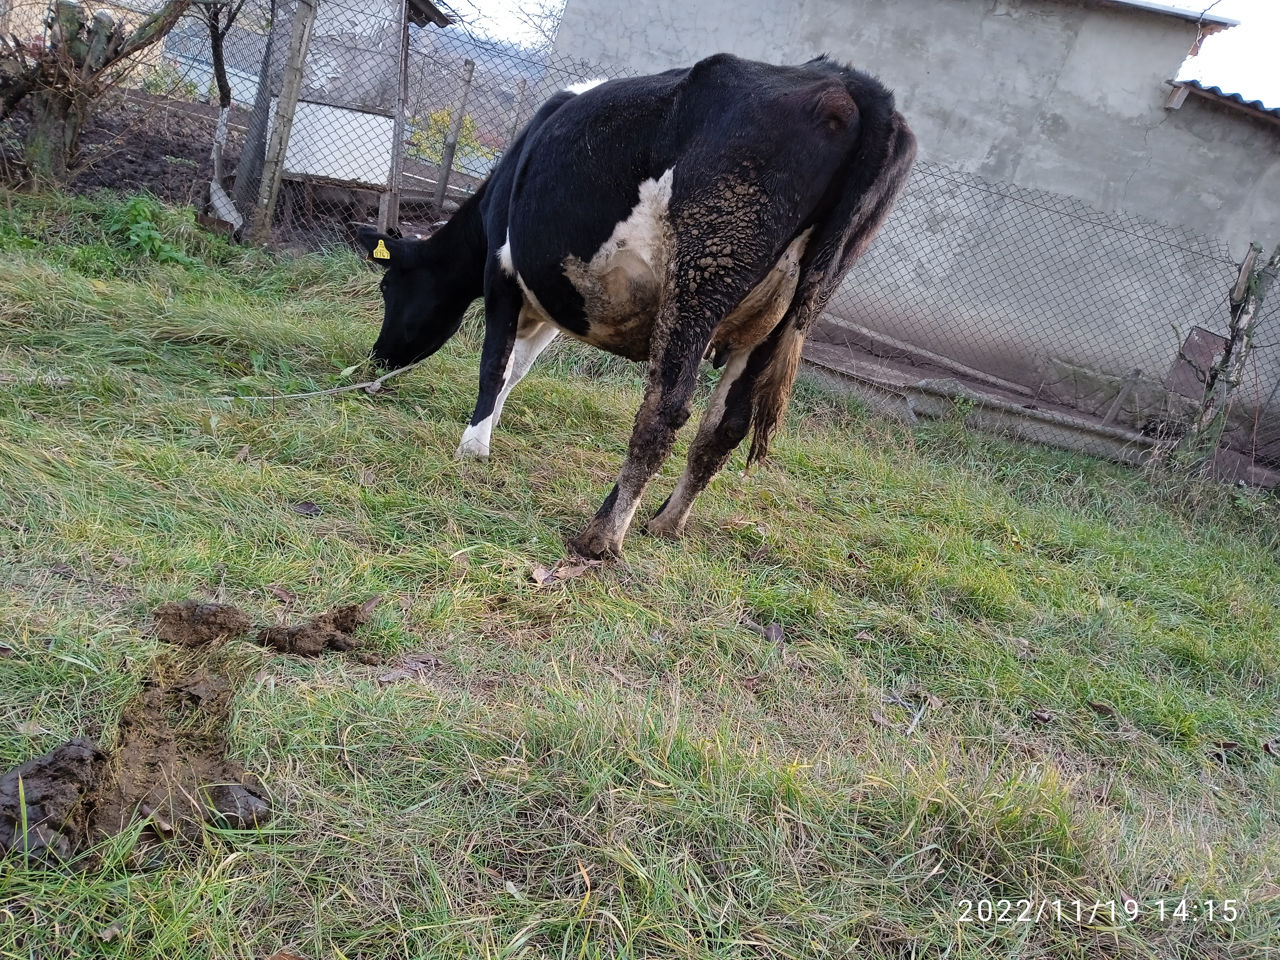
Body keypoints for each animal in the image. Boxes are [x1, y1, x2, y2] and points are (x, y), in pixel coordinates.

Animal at [357, 53, 916, 559]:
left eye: (387, 288)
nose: (375, 361)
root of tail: (851, 85)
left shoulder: (504, 271)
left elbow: (495, 363)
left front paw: (473, 447)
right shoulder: (552, 302)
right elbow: (517, 368)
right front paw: (490, 425)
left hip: (703, 272)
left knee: (665, 409)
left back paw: (601, 536)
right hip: (783, 315)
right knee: (724, 426)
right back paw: (665, 523)